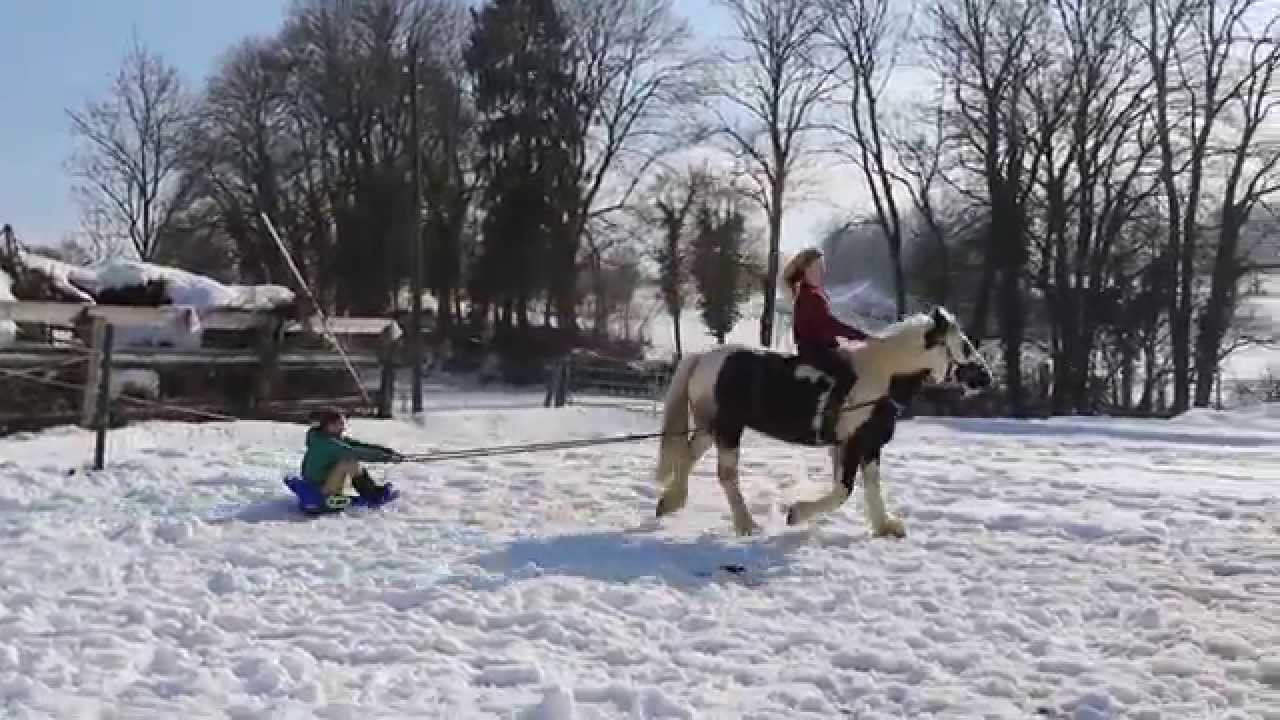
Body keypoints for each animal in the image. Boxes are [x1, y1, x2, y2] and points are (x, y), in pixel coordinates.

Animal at [651, 306, 993, 538]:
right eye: (964, 344)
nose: (986, 377)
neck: (882, 377)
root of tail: (704, 357)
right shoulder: (854, 443)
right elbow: (844, 490)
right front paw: (797, 514)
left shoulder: (868, 445)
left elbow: (871, 486)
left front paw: (885, 525)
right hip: (728, 429)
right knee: (726, 475)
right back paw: (746, 524)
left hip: (710, 426)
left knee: (687, 456)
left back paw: (671, 502)